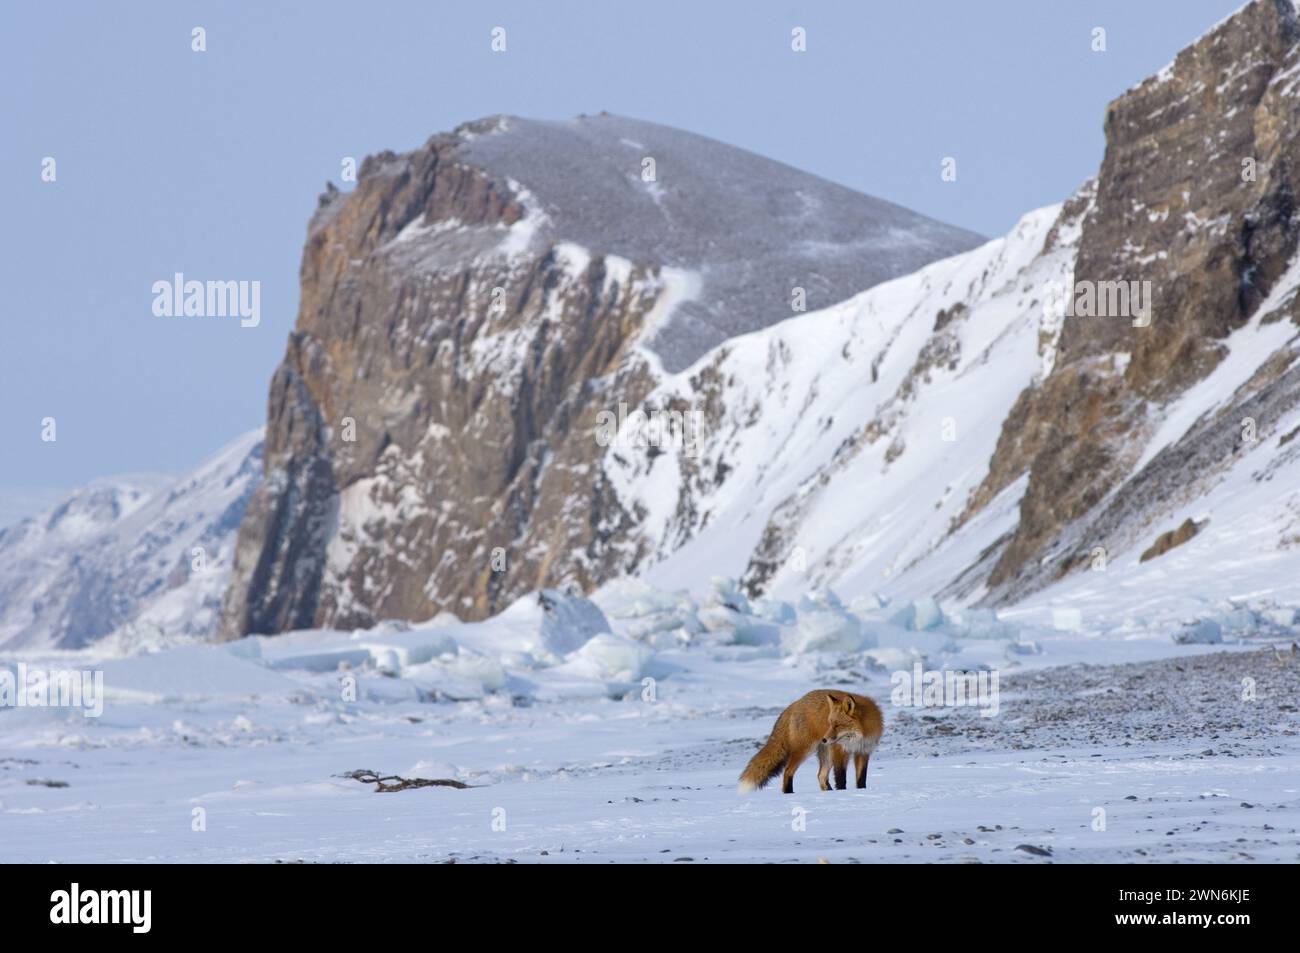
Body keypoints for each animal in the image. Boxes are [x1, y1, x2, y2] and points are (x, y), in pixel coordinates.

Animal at [738, 689, 883, 794]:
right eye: (830, 723)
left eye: (837, 725)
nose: (824, 739)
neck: (858, 737)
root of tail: (795, 703)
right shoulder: (840, 751)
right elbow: (841, 777)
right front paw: (842, 793)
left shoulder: (863, 751)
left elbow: (861, 779)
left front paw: (861, 792)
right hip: (805, 750)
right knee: (788, 771)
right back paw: (789, 793)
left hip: (826, 754)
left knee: (821, 776)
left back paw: (827, 792)